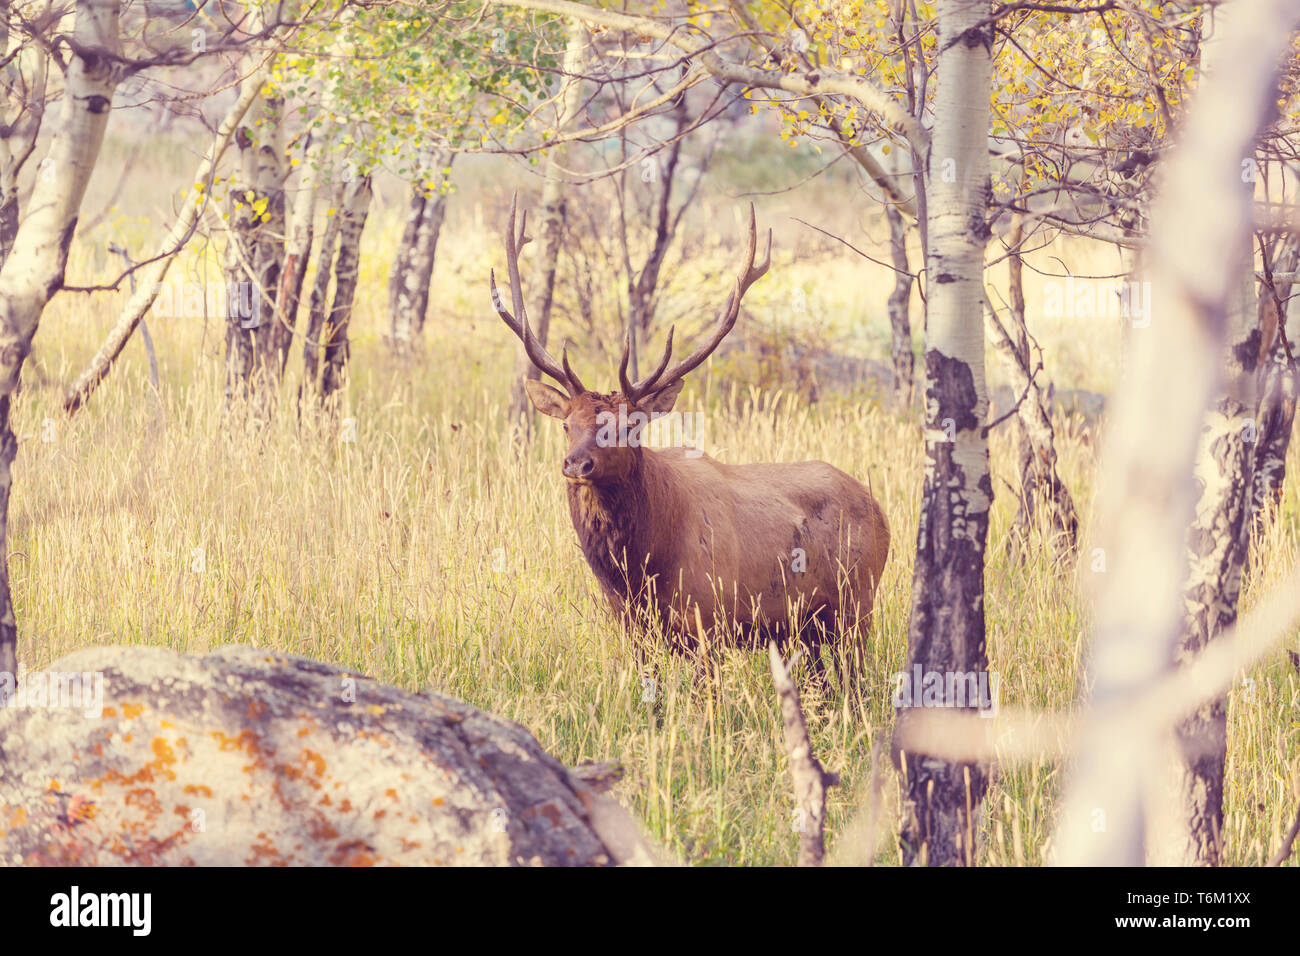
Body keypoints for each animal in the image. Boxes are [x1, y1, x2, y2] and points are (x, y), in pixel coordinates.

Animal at [491, 197, 889, 686]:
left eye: (629, 425)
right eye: (566, 424)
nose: (576, 465)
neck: (640, 572)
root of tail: (882, 511)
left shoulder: (710, 621)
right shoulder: (633, 630)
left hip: (858, 607)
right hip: (807, 629)